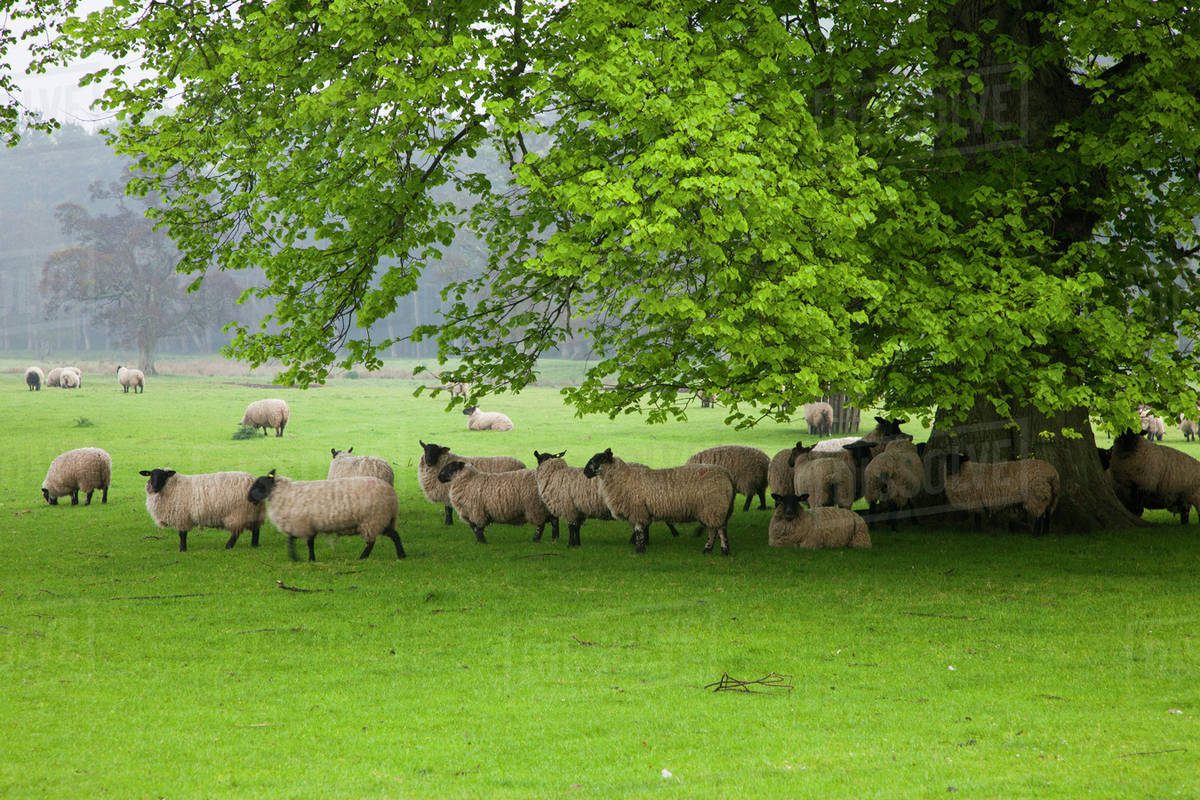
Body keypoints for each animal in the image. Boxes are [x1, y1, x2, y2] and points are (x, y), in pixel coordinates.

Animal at [247, 470, 404, 561]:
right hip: (380, 520)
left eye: (260, 485)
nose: (249, 498)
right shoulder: (304, 525)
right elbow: (300, 541)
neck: (283, 493)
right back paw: (398, 555)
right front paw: (303, 558)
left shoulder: (301, 524)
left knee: (375, 540)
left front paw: (302, 558)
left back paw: (365, 557)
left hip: (373, 519)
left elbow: (301, 542)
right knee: (391, 535)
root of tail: (393, 496)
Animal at [582, 448, 735, 555]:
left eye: (598, 459)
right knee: (713, 529)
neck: (624, 478)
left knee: (720, 529)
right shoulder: (642, 511)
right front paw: (641, 546)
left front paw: (640, 550)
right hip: (711, 509)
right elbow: (641, 530)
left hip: (714, 506)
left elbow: (638, 531)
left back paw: (724, 550)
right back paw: (707, 550)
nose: (585, 472)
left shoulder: (638, 510)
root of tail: (726, 473)